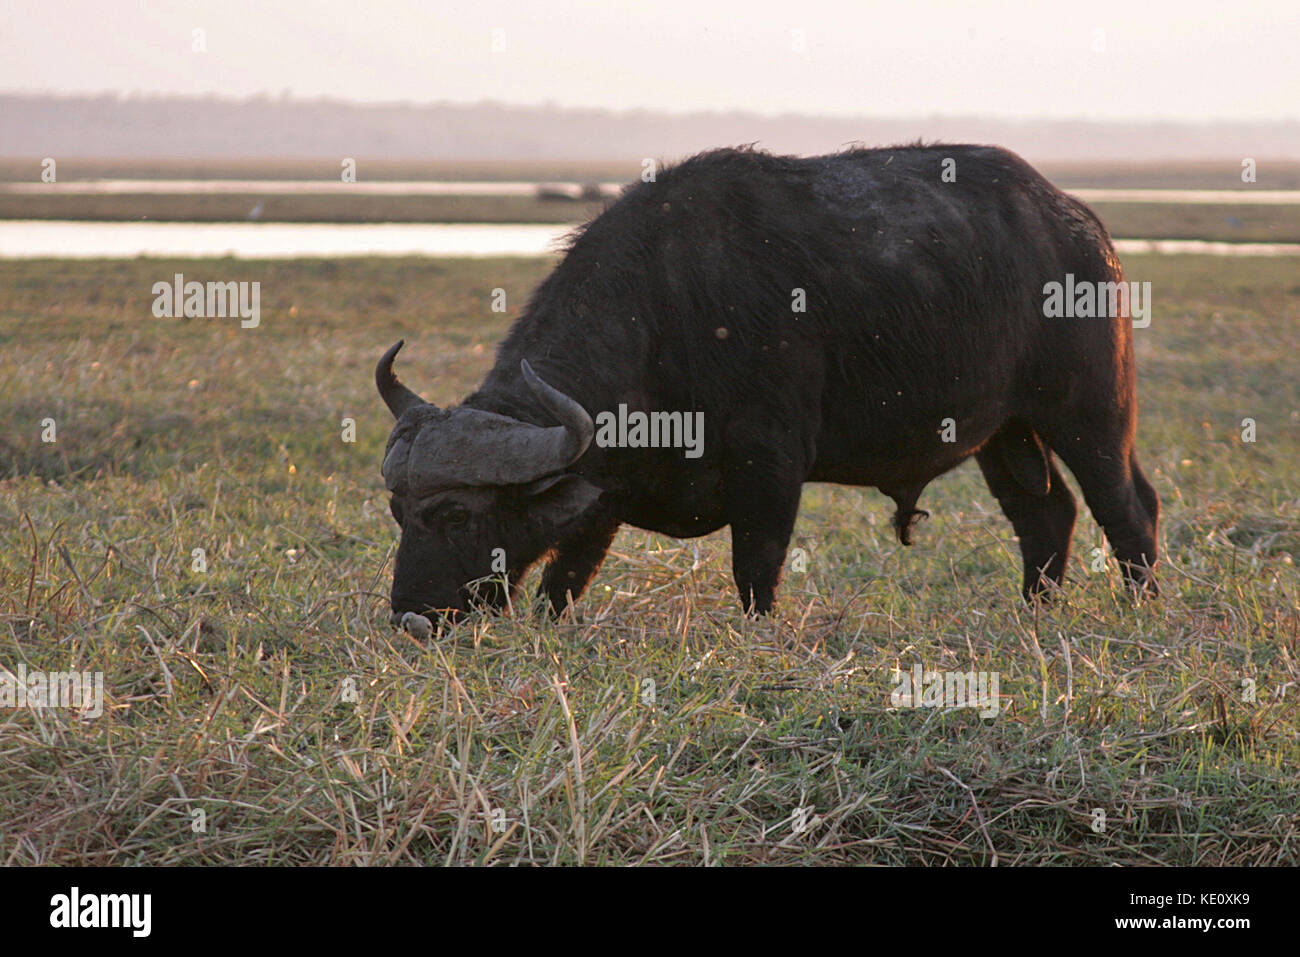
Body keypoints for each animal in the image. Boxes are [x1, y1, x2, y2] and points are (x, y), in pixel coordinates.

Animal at [377, 144, 1158, 626]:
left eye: (456, 515)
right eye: (399, 512)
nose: (412, 617)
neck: (663, 316)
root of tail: (1079, 224)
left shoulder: (772, 466)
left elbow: (756, 571)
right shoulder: (605, 489)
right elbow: (564, 576)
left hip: (1091, 412)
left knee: (1127, 509)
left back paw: (1140, 611)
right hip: (1003, 431)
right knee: (1046, 515)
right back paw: (1035, 614)